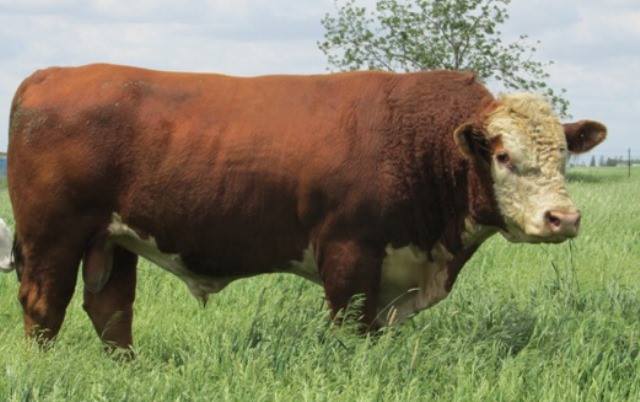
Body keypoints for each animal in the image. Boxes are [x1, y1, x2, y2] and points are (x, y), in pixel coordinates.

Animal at [5, 64, 606, 351]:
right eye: (503, 155)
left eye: (564, 156)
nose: (564, 219)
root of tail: (51, 75)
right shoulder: (350, 254)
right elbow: (349, 330)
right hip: (52, 235)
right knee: (43, 309)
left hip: (112, 239)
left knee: (111, 311)